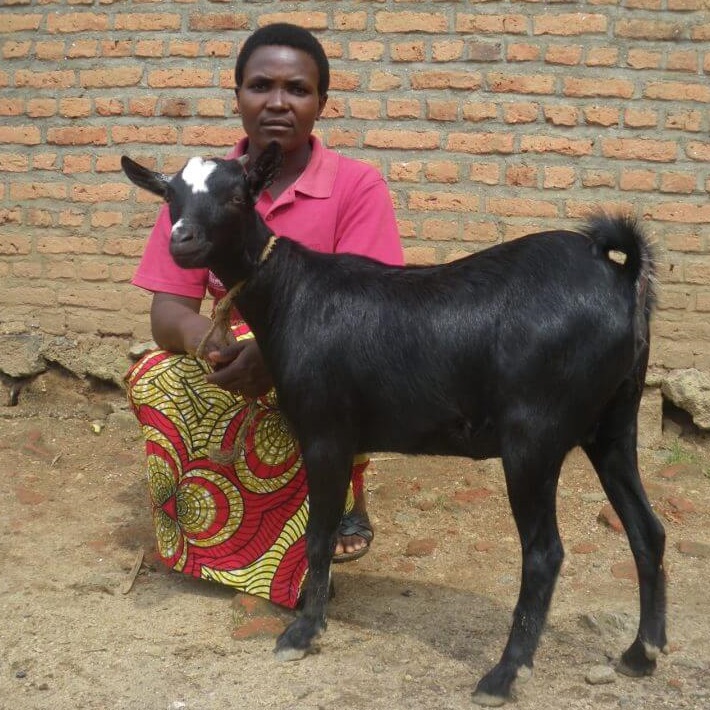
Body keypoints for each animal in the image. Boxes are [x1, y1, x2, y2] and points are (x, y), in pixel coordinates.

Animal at [121, 142, 666, 707]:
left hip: (533, 435)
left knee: (544, 553)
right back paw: (641, 653)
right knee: (646, 528)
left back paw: (505, 674)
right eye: (170, 197)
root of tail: (621, 277)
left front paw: (304, 632)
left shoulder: (326, 432)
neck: (290, 292)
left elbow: (319, 533)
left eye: (235, 196)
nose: (181, 241)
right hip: (615, 420)